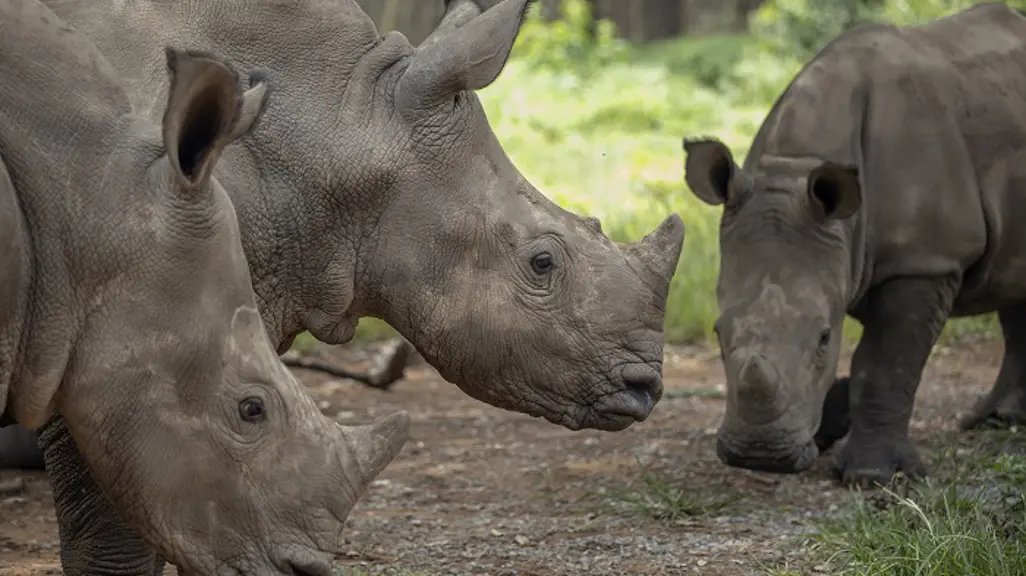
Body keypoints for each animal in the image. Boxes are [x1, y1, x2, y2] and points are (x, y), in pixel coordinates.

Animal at [683, 2, 1026, 487]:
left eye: (825, 338)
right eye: (716, 331)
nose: (759, 454)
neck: (794, 166)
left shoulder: (924, 259)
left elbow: (885, 362)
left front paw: (870, 475)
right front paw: (830, 421)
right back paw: (995, 419)